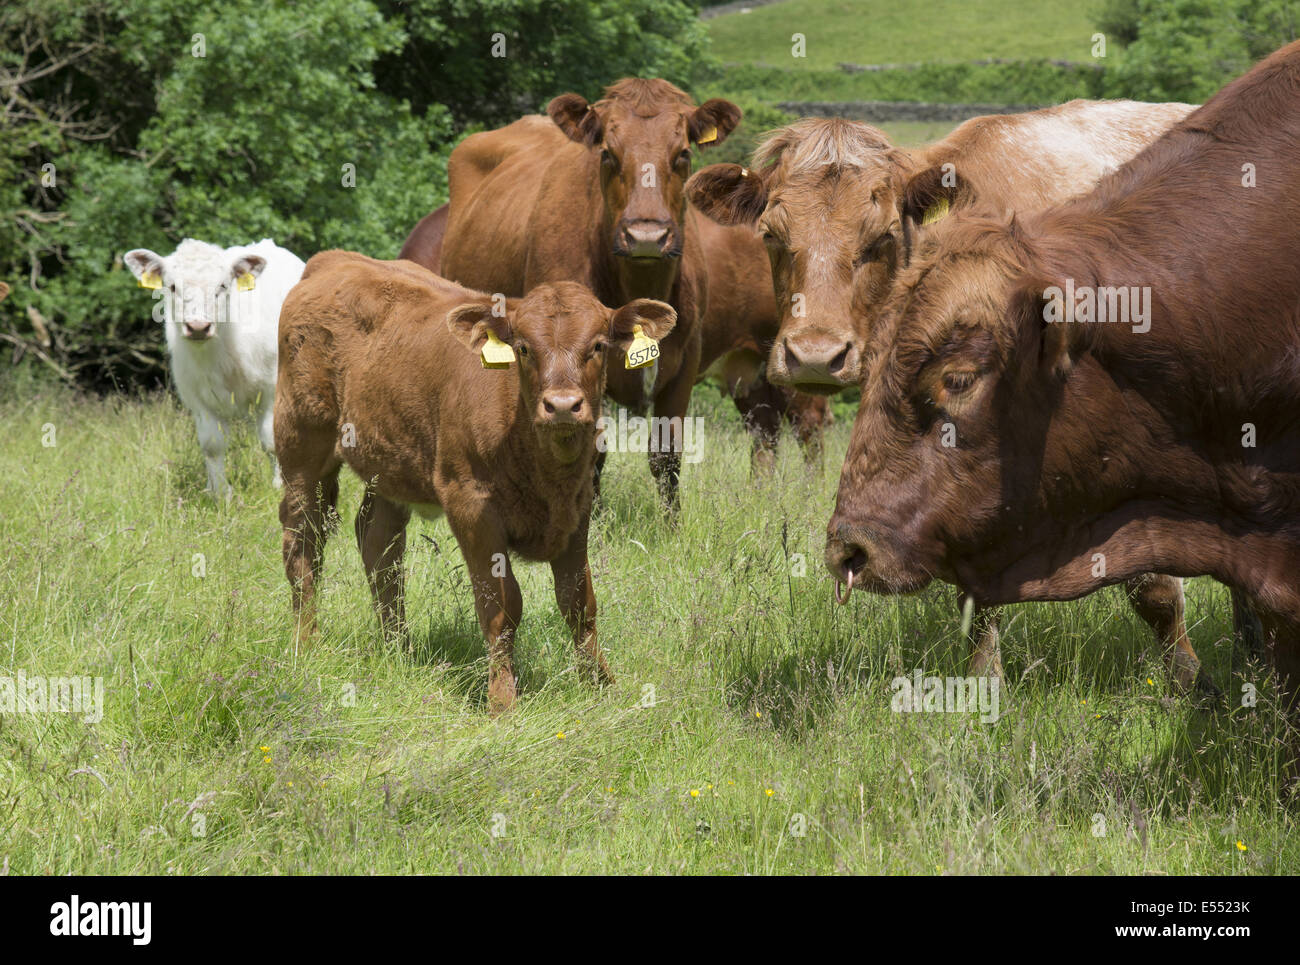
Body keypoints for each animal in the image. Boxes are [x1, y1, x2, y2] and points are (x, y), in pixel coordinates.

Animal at [124, 238, 305, 497]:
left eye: (222, 285)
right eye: (172, 287)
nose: (198, 327)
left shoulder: (272, 388)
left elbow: (271, 438)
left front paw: (280, 485)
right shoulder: (196, 396)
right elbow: (212, 444)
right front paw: (219, 492)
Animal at [274, 251, 675, 714]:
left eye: (597, 346)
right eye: (523, 348)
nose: (561, 406)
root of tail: (334, 260)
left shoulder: (579, 506)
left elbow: (579, 602)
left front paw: (601, 685)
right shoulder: (470, 506)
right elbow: (501, 606)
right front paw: (502, 700)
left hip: (391, 463)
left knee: (379, 545)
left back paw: (399, 649)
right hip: (301, 448)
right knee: (304, 544)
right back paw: (307, 644)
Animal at [438, 79, 743, 507]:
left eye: (683, 153)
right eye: (608, 154)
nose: (646, 235)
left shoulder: (686, 359)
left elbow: (667, 457)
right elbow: (591, 453)